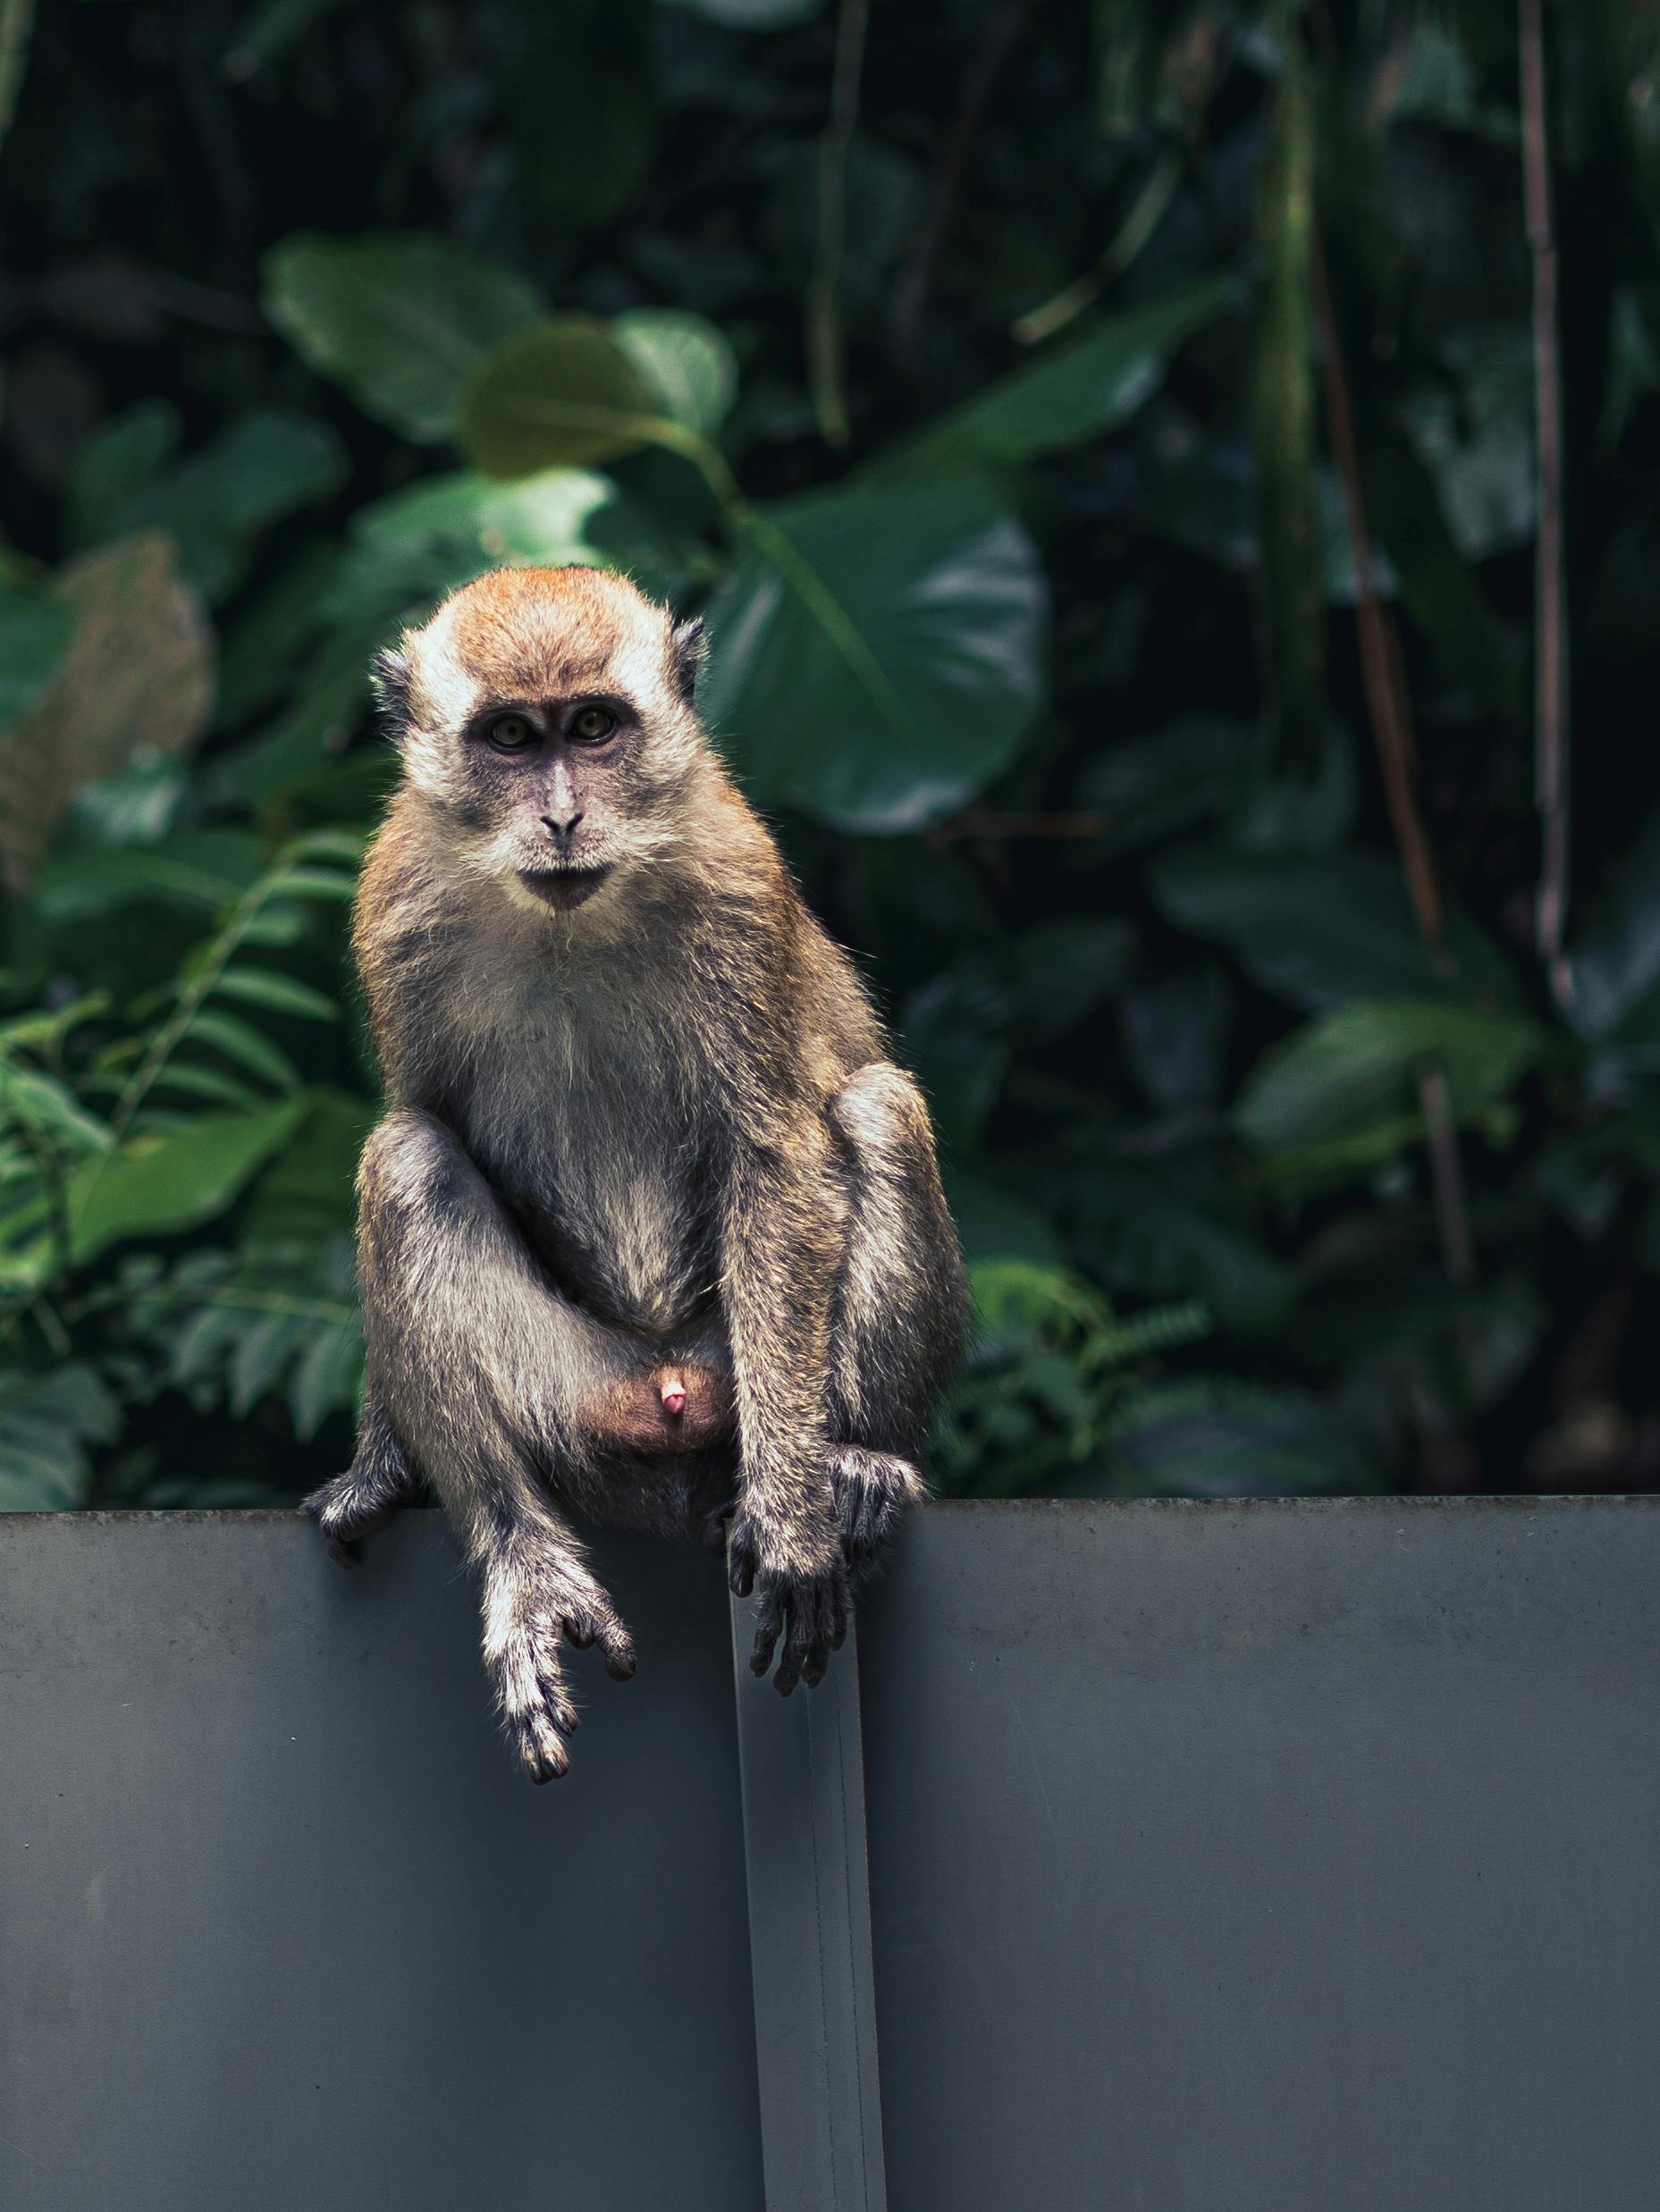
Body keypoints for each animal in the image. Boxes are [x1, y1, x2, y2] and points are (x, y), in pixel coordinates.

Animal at [303, 564, 968, 1782]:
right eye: (511, 737)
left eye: (595, 728)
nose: (563, 817)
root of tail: (665, 1394)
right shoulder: (395, 907)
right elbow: (417, 1117)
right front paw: (381, 1462)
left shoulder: (740, 886)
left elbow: (775, 1154)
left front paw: (796, 1511)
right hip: (581, 1404)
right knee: (408, 1163)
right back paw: (520, 1556)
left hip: (726, 1386)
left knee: (879, 1111)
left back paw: (857, 1468)